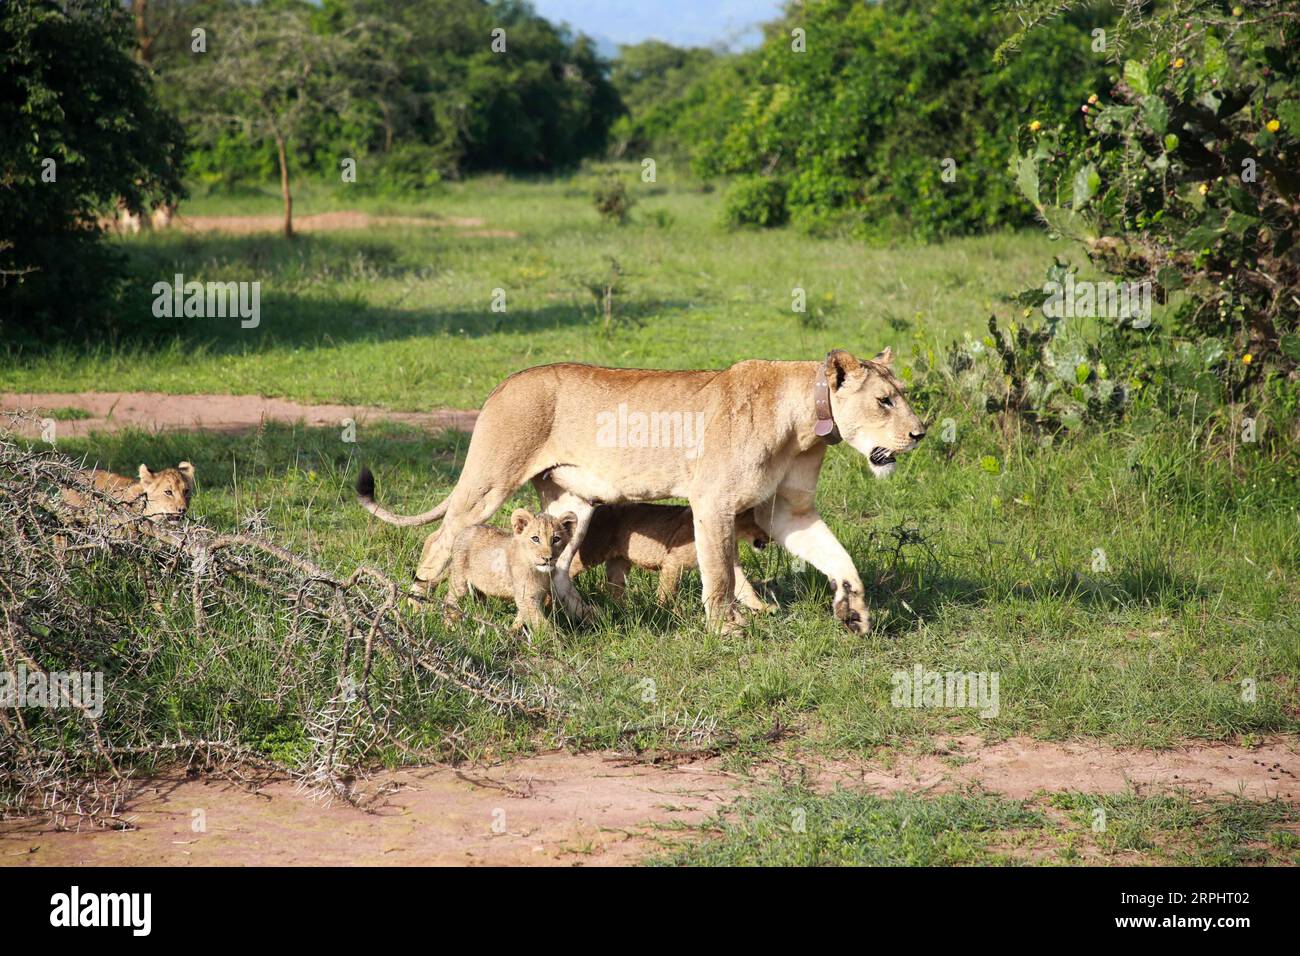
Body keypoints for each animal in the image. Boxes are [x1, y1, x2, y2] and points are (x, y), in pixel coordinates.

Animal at [442, 509, 576, 633]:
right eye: (535, 538)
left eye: (556, 539)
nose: (548, 558)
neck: (540, 572)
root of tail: (464, 530)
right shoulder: (526, 597)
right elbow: (542, 624)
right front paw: (558, 641)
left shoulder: (538, 595)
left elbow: (522, 616)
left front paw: (512, 631)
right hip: (459, 581)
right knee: (449, 599)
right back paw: (449, 625)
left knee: (480, 602)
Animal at [569, 504, 773, 611]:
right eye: (758, 522)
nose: (770, 538)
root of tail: (598, 508)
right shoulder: (673, 561)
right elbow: (667, 591)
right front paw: (664, 612)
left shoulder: (732, 565)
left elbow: (745, 587)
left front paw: (763, 607)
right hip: (592, 552)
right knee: (569, 566)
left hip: (619, 563)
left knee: (614, 587)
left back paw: (622, 609)